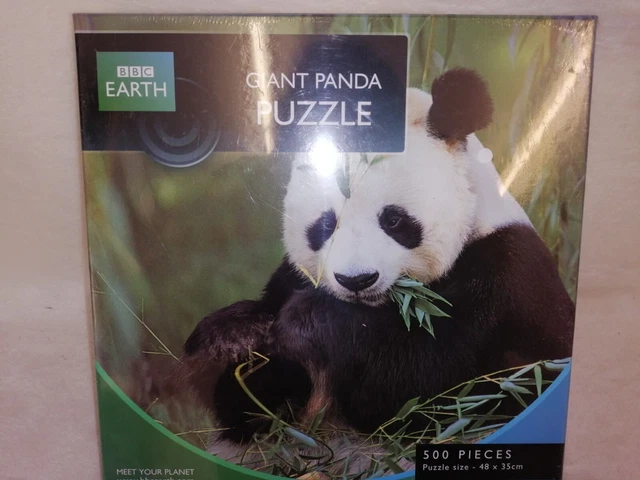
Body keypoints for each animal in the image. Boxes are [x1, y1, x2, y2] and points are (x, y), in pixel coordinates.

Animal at [174, 68, 575, 454]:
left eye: (393, 220)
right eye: (326, 223)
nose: (357, 280)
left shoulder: (504, 279)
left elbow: (428, 386)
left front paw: (311, 321)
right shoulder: (292, 278)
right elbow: (248, 409)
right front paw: (232, 336)